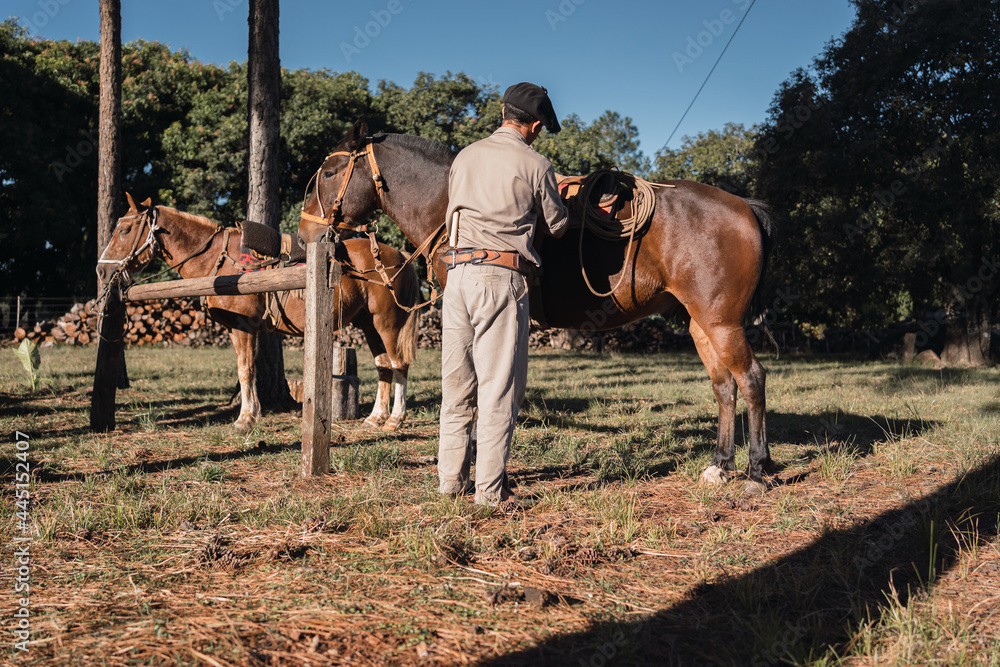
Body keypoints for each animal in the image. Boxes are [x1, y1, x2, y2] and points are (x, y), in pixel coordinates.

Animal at [97, 194, 420, 433]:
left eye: (124, 230)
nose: (102, 270)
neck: (220, 261)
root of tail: (400, 256)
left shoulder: (244, 327)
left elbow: (246, 370)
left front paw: (245, 418)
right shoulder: (239, 329)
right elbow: (246, 370)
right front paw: (250, 414)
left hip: (387, 323)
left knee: (398, 364)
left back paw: (394, 419)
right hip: (369, 324)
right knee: (383, 366)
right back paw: (375, 418)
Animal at [298, 119, 777, 491]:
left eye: (329, 172)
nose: (305, 234)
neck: (455, 207)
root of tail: (744, 206)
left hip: (722, 322)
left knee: (752, 379)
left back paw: (757, 470)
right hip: (700, 324)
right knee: (725, 387)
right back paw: (721, 466)